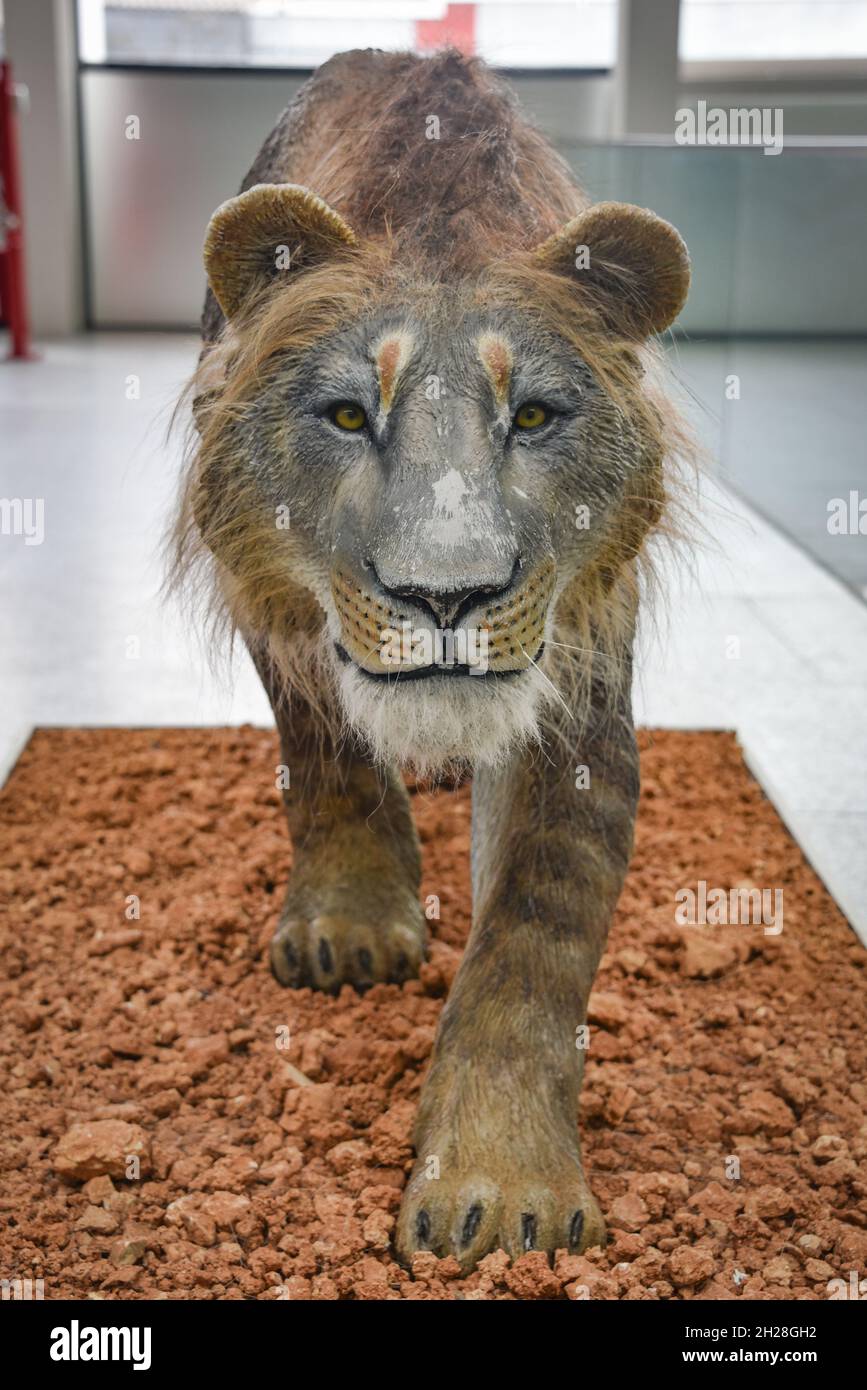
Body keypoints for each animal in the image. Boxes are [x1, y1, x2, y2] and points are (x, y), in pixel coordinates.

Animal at [172, 48, 691, 1271]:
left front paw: (501, 1189)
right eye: (347, 415)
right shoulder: (275, 601)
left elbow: (539, 927)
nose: (446, 595)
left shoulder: (579, 662)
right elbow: (329, 757)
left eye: (535, 416)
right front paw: (355, 930)